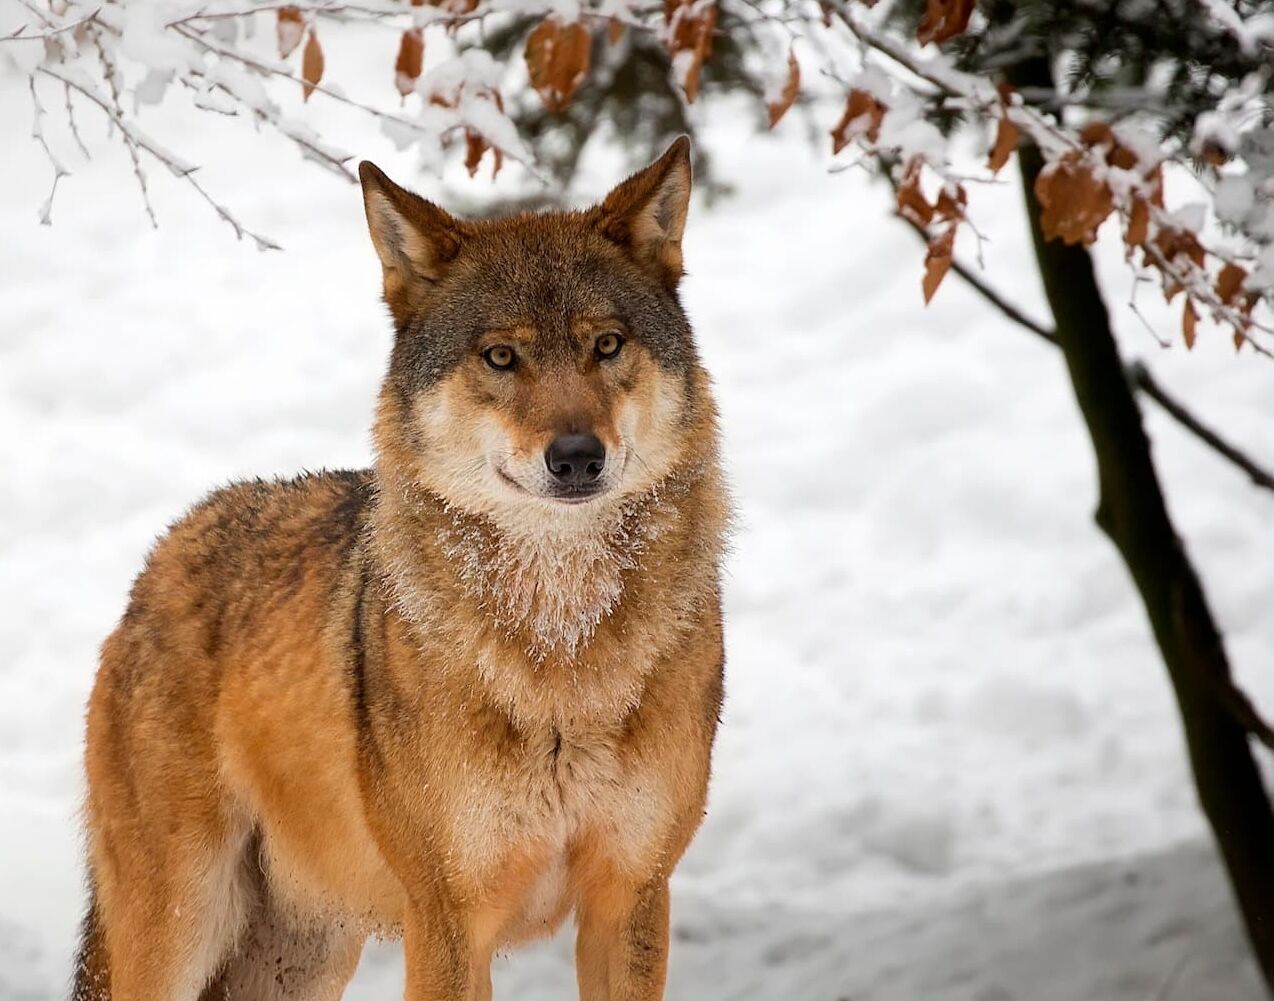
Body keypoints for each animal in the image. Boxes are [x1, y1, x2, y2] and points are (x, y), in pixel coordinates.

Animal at [72, 136, 729, 1001]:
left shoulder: (633, 896)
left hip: (303, 954)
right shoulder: (448, 916)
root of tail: (156, 561)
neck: (561, 651)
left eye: (607, 345)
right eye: (501, 356)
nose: (577, 456)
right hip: (180, 929)